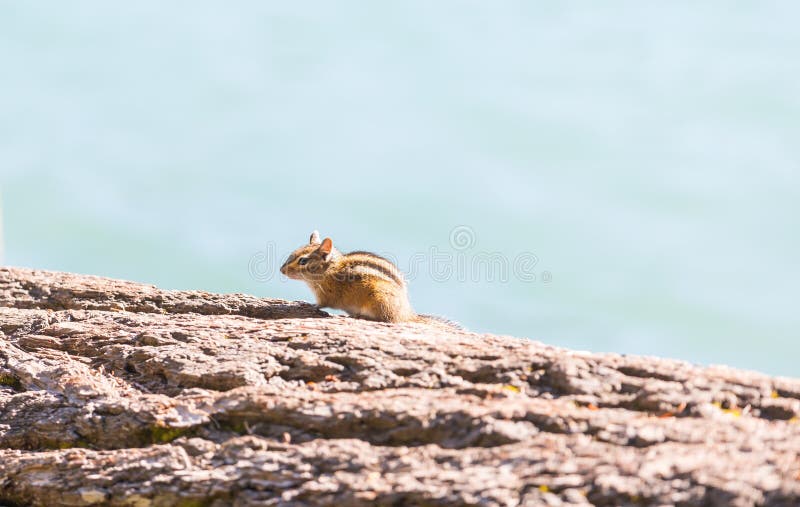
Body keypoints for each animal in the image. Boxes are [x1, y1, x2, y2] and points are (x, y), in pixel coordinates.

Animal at [280, 231, 460, 327]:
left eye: (303, 261)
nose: (281, 270)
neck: (329, 271)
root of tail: (408, 314)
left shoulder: (326, 295)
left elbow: (320, 304)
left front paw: (308, 304)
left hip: (380, 298)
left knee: (387, 320)